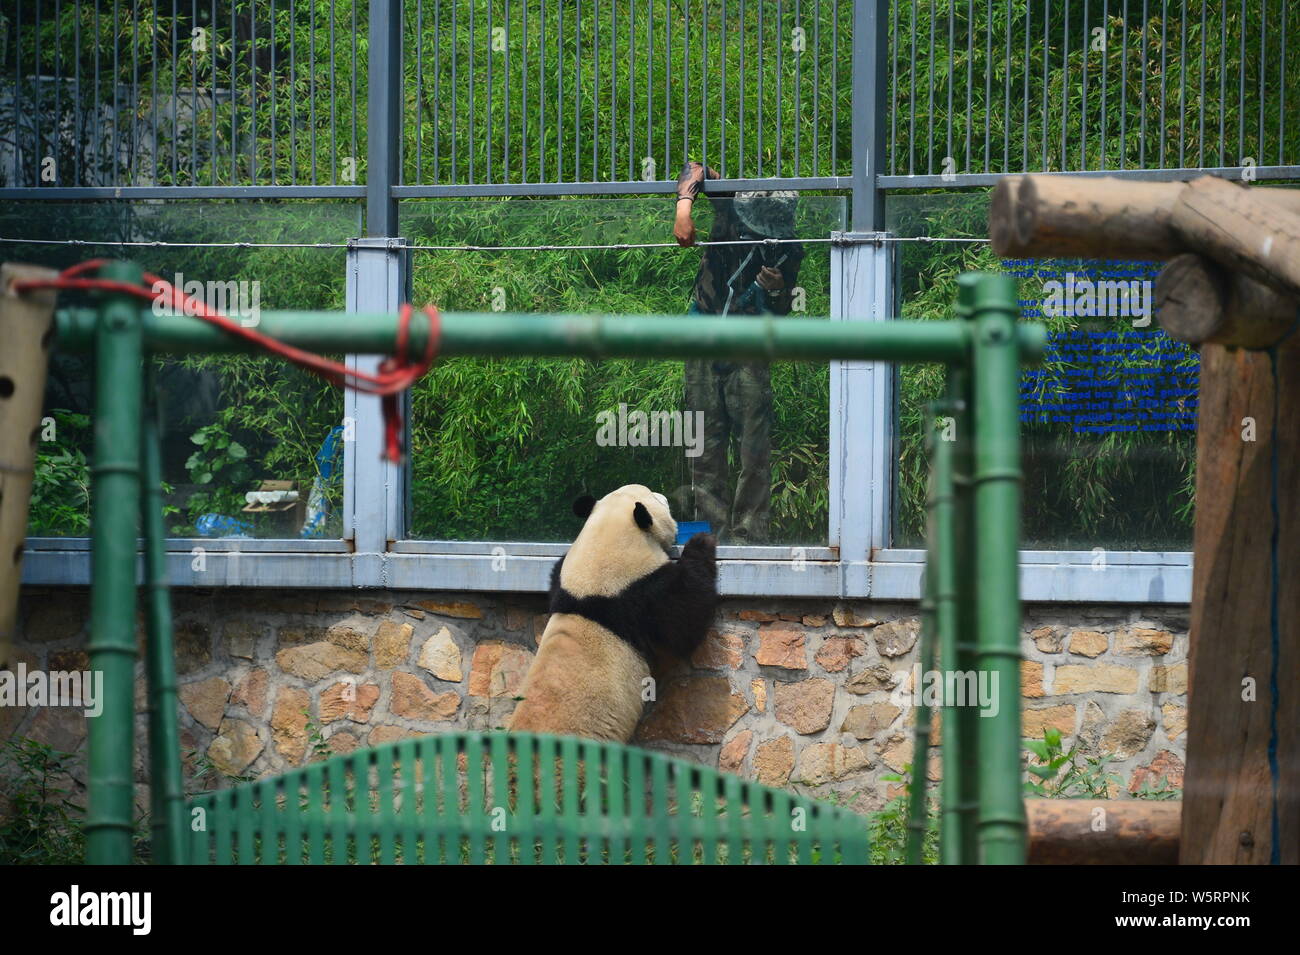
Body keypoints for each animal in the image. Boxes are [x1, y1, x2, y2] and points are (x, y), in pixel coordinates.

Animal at [507, 483, 719, 743]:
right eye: (655, 497)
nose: (665, 496)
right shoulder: (642, 594)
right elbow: (685, 622)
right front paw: (702, 541)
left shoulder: (563, 585)